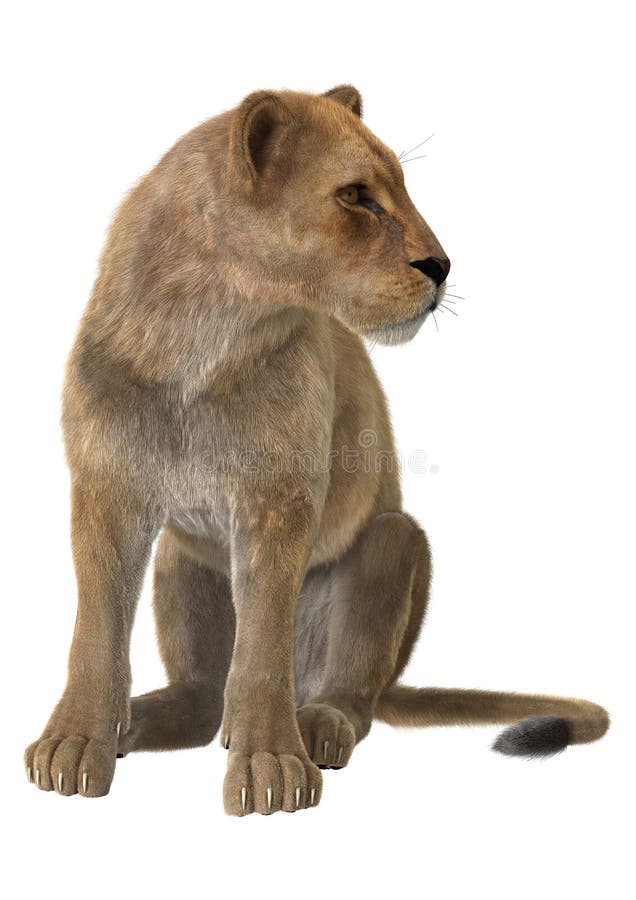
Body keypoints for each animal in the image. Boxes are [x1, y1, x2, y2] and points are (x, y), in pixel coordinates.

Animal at [24, 85, 608, 815]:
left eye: (401, 188)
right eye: (357, 196)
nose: (442, 267)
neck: (203, 329)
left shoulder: (278, 502)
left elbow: (261, 651)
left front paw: (272, 766)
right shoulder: (107, 490)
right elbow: (96, 633)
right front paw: (74, 746)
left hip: (392, 541)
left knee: (350, 695)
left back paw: (318, 727)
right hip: (180, 554)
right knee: (204, 699)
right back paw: (140, 719)